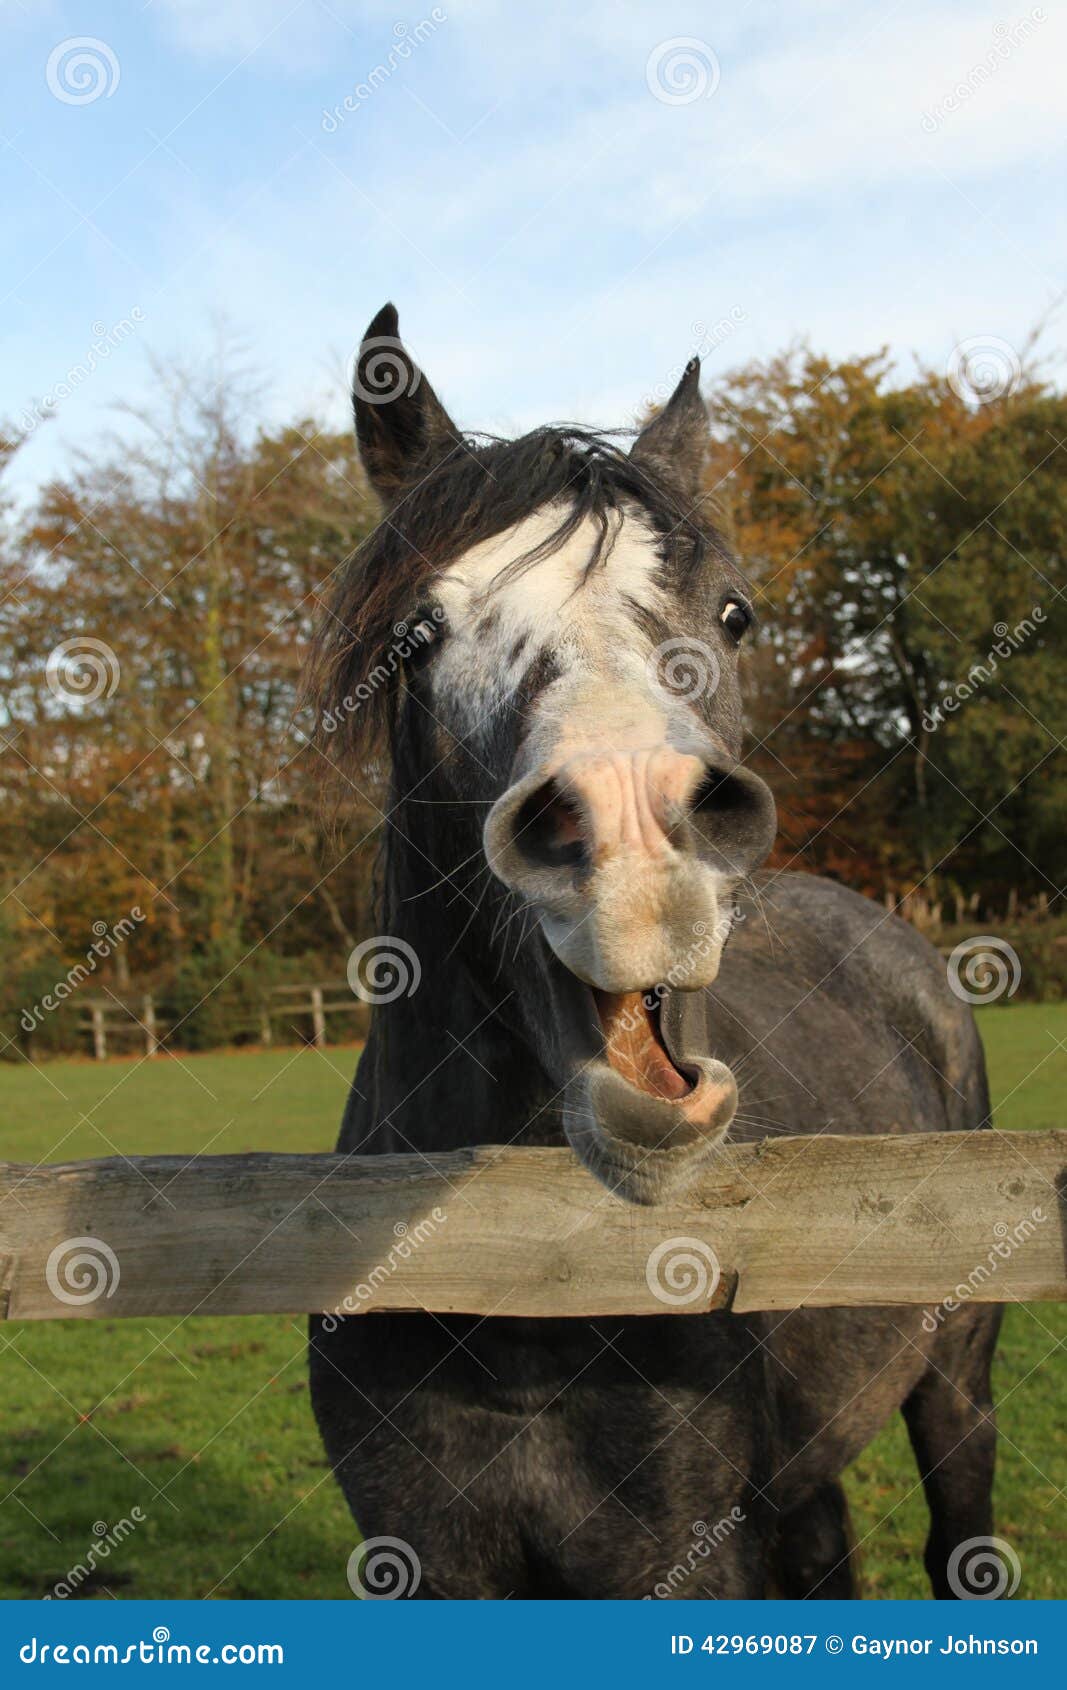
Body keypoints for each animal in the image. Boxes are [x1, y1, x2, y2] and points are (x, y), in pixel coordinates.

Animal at [307, 304, 1002, 1599]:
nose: (630, 826)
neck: (518, 1291)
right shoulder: (424, 1549)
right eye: (417, 635)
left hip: (955, 1384)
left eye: (732, 613)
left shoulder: (671, 1553)